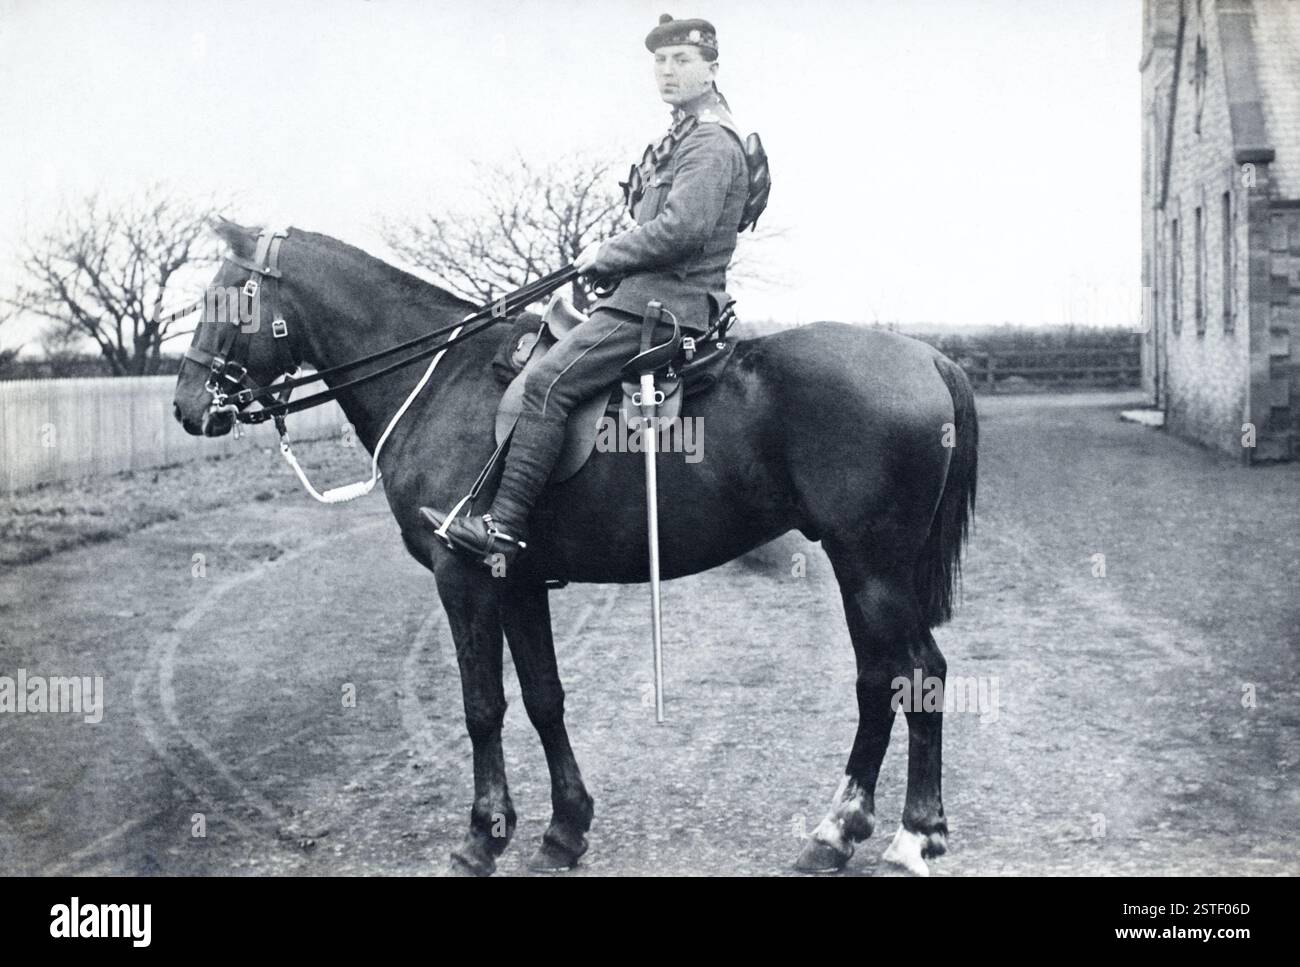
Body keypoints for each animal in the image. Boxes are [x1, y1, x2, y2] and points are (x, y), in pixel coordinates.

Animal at [172, 221, 978, 876]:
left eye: (230, 300)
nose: (187, 407)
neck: (439, 382)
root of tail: (927, 359)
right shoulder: (518, 580)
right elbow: (543, 698)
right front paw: (564, 829)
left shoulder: (463, 577)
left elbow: (482, 705)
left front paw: (481, 837)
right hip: (864, 569)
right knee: (890, 678)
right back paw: (859, 831)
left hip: (871, 568)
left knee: (910, 675)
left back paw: (892, 835)